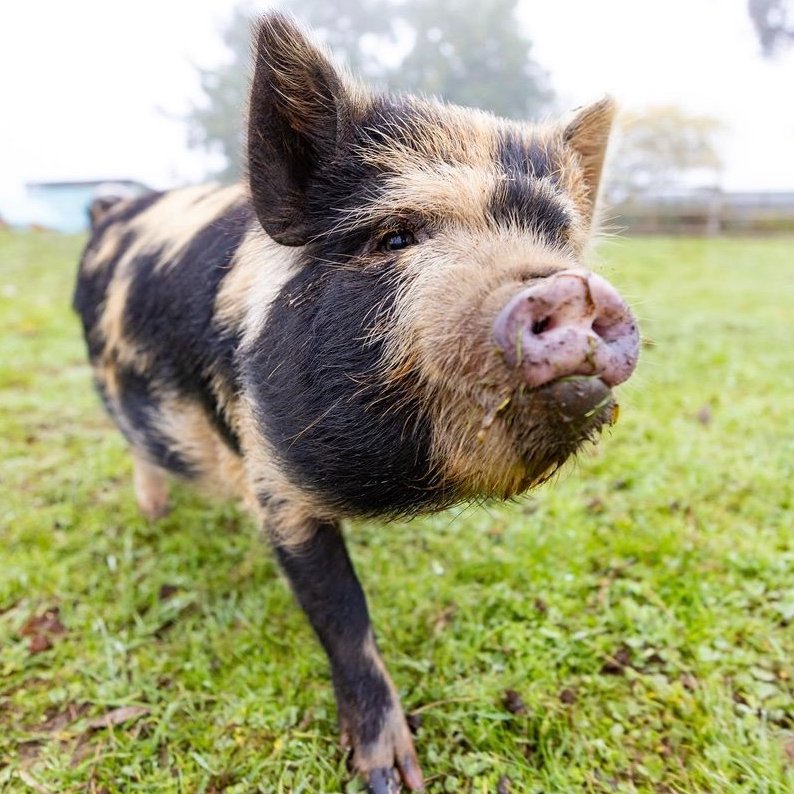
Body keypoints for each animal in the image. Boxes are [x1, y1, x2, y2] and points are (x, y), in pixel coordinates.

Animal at [73, 12, 639, 792]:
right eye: (394, 236)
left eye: (556, 240)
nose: (568, 289)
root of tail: (110, 209)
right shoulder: (273, 475)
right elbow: (342, 612)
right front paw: (391, 776)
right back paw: (154, 516)